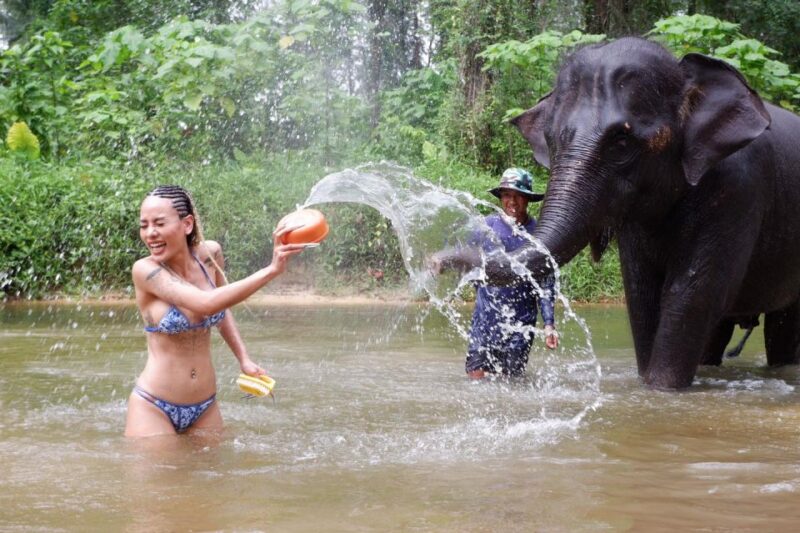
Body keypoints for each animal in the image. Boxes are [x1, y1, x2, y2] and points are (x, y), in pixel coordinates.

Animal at [487, 37, 800, 389]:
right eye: (551, 140)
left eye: (622, 141)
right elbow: (640, 295)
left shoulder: (737, 192)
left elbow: (693, 294)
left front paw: (660, 389)